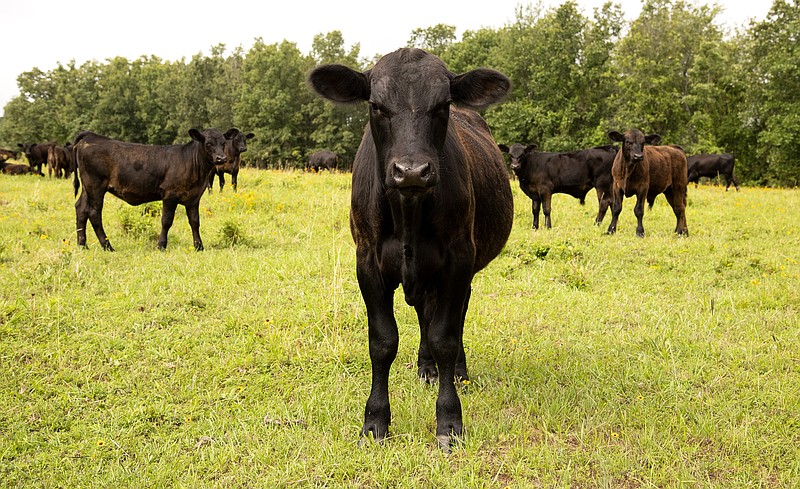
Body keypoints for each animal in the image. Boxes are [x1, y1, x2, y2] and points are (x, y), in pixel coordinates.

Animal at [73, 128, 233, 251]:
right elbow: (166, 221)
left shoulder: (194, 198)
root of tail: (91, 135)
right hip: (96, 186)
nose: (221, 158)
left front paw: (199, 246)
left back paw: (82, 245)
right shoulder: (170, 195)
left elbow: (195, 222)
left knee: (81, 208)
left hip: (87, 188)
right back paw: (107, 246)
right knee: (94, 213)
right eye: (208, 143)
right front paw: (161, 245)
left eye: (224, 143)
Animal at [308, 48, 513, 452]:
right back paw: (425, 367)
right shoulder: (367, 261)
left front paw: (449, 421)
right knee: (423, 315)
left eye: (443, 105)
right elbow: (383, 341)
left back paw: (457, 371)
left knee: (454, 318)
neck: (408, 211)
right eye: (375, 105)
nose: (413, 171)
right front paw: (375, 421)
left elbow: (445, 336)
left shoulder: (458, 260)